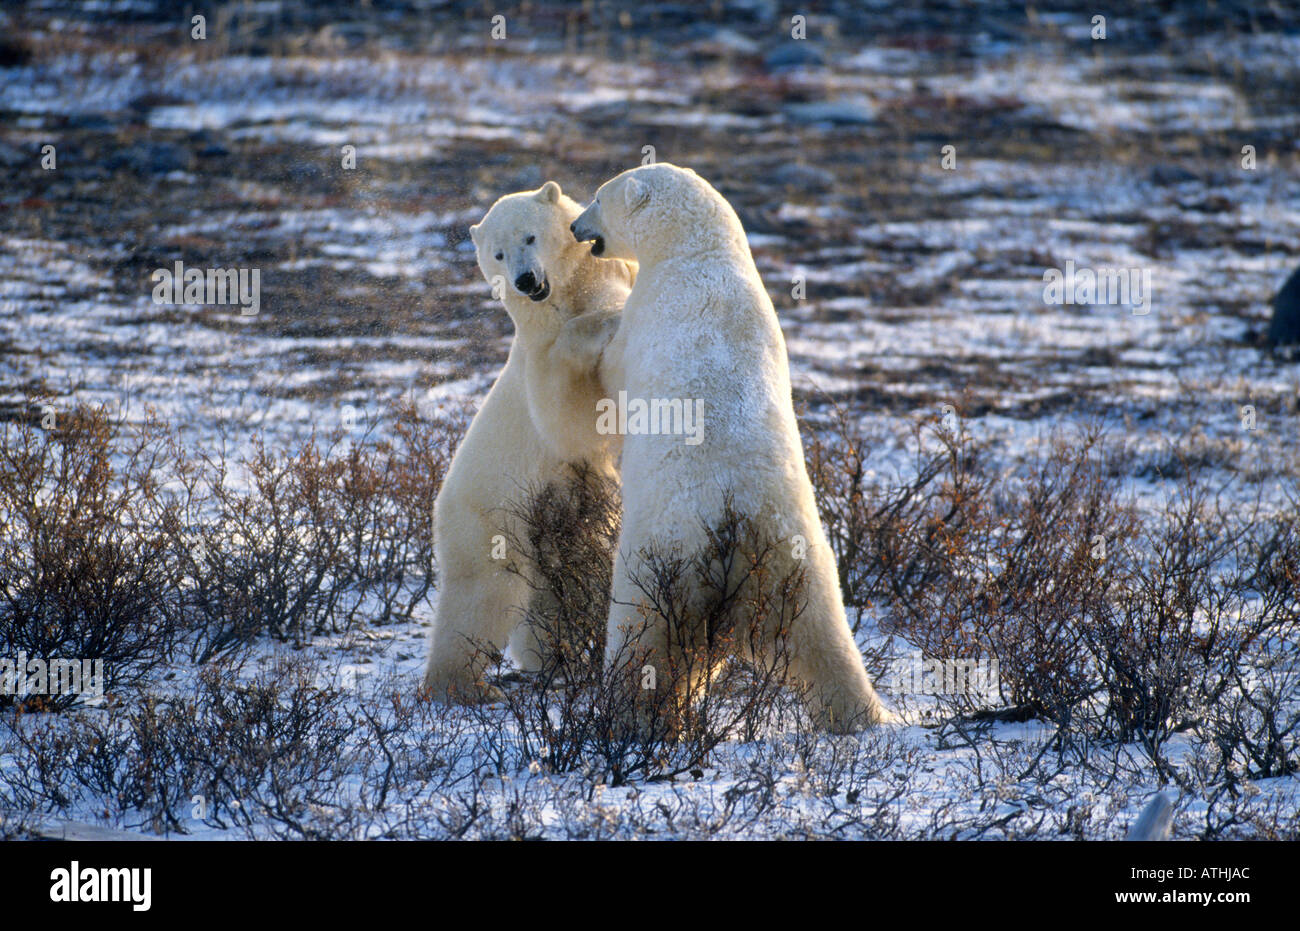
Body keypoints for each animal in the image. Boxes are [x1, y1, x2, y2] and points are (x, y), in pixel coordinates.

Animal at [421, 181, 635, 703]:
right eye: (497, 253)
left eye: (530, 237)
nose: (524, 280)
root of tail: (438, 503)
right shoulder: (540, 360)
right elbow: (568, 414)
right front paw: (604, 321)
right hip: (491, 516)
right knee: (485, 594)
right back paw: (466, 686)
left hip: (551, 522)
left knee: (554, 596)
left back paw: (558, 658)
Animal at [570, 162, 895, 732]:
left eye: (598, 197)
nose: (575, 228)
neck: (701, 253)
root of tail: (730, 521)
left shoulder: (650, 311)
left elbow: (614, 371)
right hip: (794, 562)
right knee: (820, 639)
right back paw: (866, 715)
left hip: (659, 562)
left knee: (642, 640)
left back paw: (623, 714)